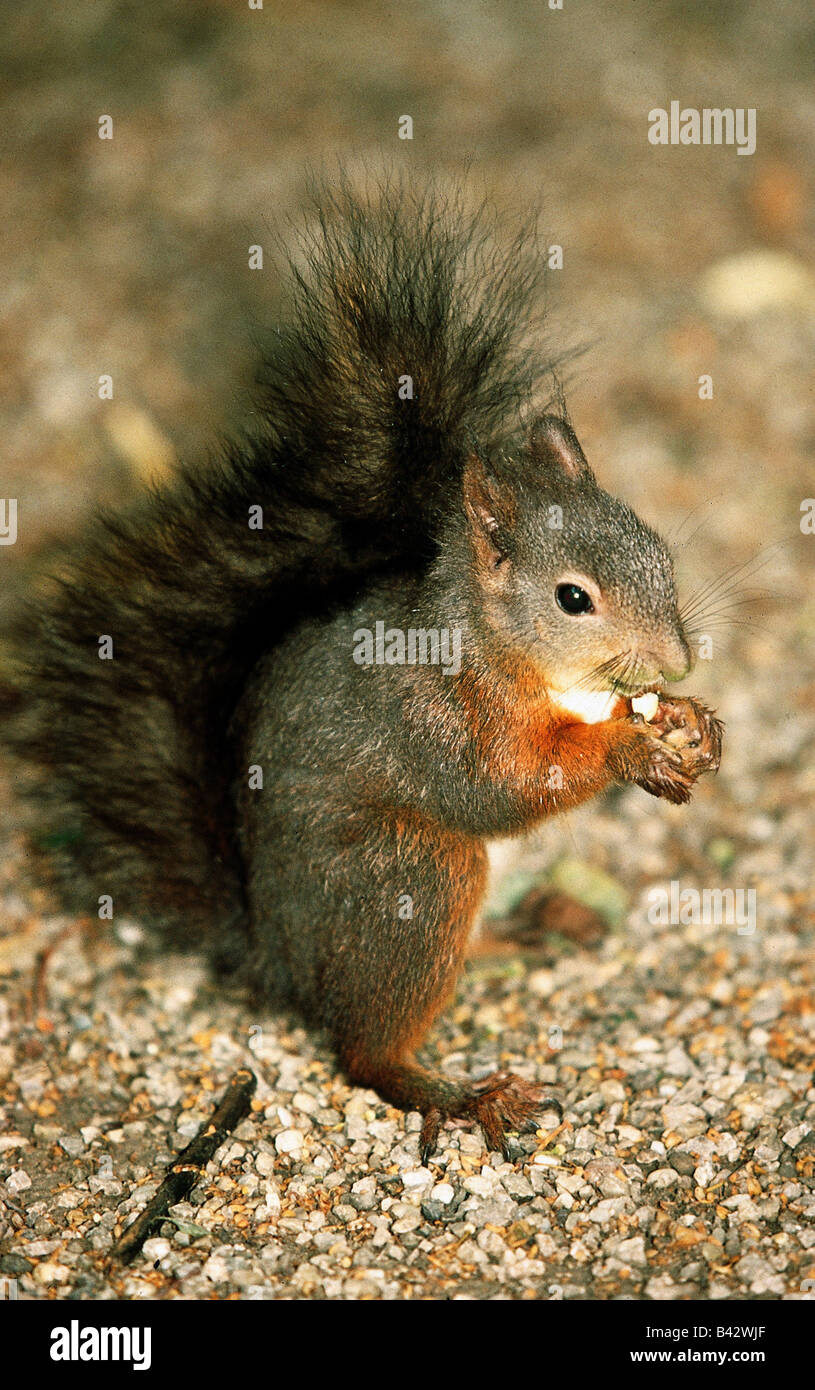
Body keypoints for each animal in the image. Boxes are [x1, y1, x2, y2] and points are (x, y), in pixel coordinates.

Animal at [1, 180, 722, 1159]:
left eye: (659, 553)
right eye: (573, 599)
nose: (679, 656)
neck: (508, 651)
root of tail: (277, 956)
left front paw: (687, 719)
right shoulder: (437, 715)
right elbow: (497, 787)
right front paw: (630, 750)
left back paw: (519, 939)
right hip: (408, 880)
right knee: (365, 1050)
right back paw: (457, 1093)